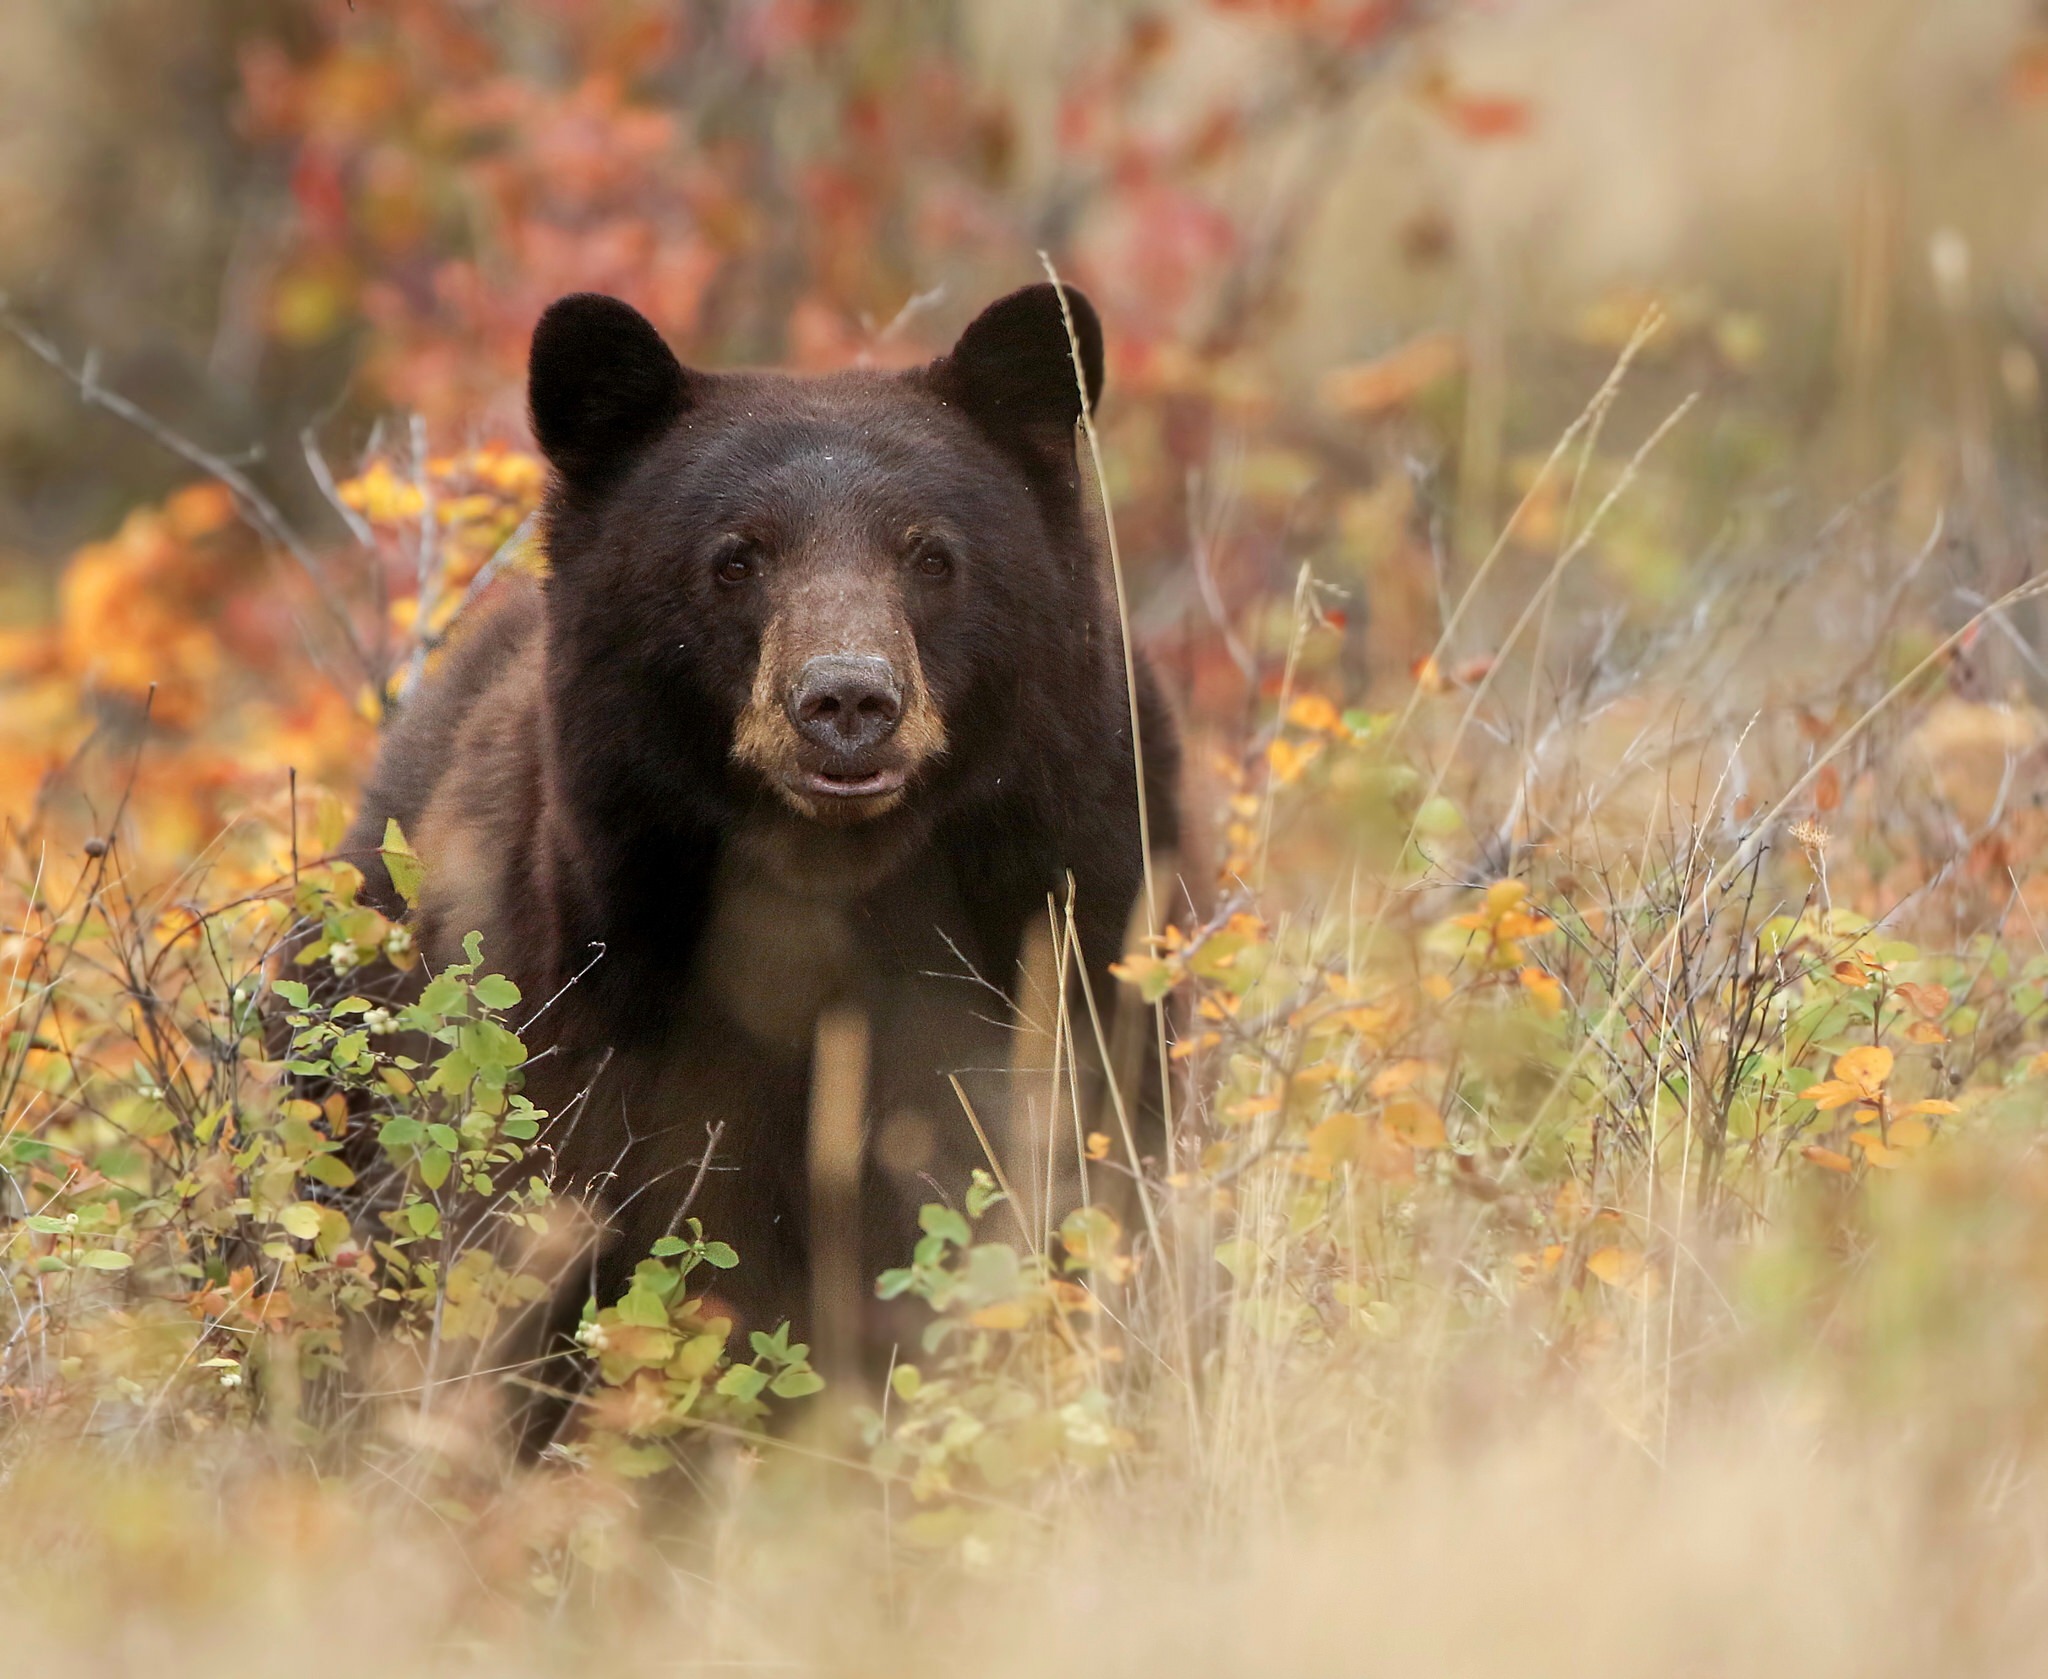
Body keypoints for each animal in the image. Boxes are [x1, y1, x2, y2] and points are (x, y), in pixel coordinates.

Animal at [339, 282, 1181, 1422]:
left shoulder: (1086, 940)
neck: (837, 900)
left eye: (931, 554)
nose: (847, 700)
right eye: (735, 558)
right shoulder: (586, 1026)